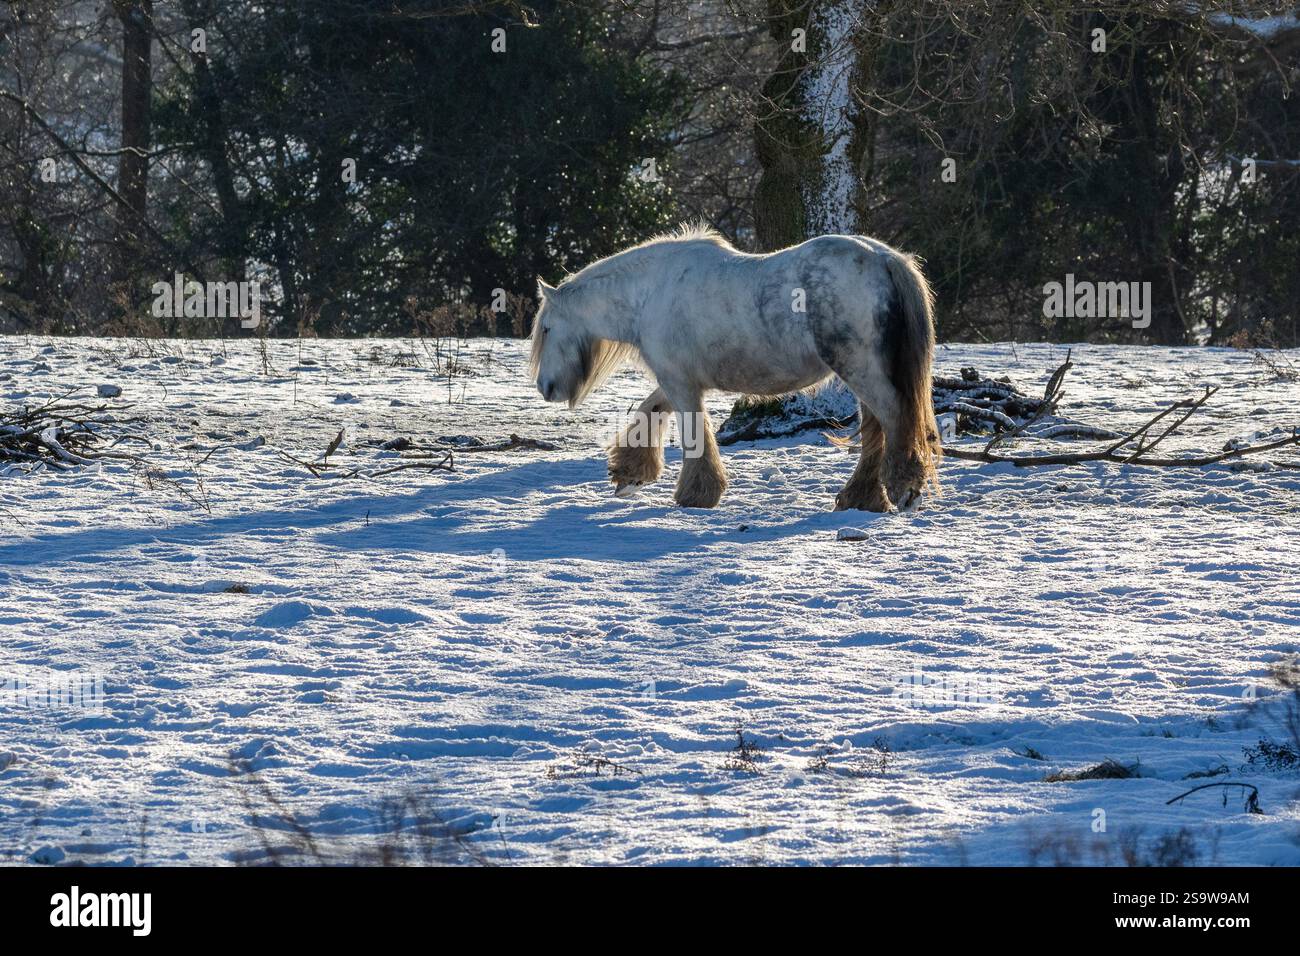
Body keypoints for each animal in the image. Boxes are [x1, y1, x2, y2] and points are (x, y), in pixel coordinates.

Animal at [528, 224, 941, 512]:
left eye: (546, 328)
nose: (545, 388)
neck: (649, 292)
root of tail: (882, 257)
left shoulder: (680, 383)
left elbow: (693, 434)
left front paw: (696, 494)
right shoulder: (679, 380)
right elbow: (650, 411)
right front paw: (630, 474)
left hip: (861, 370)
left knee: (894, 417)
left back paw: (904, 489)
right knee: (876, 427)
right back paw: (862, 498)